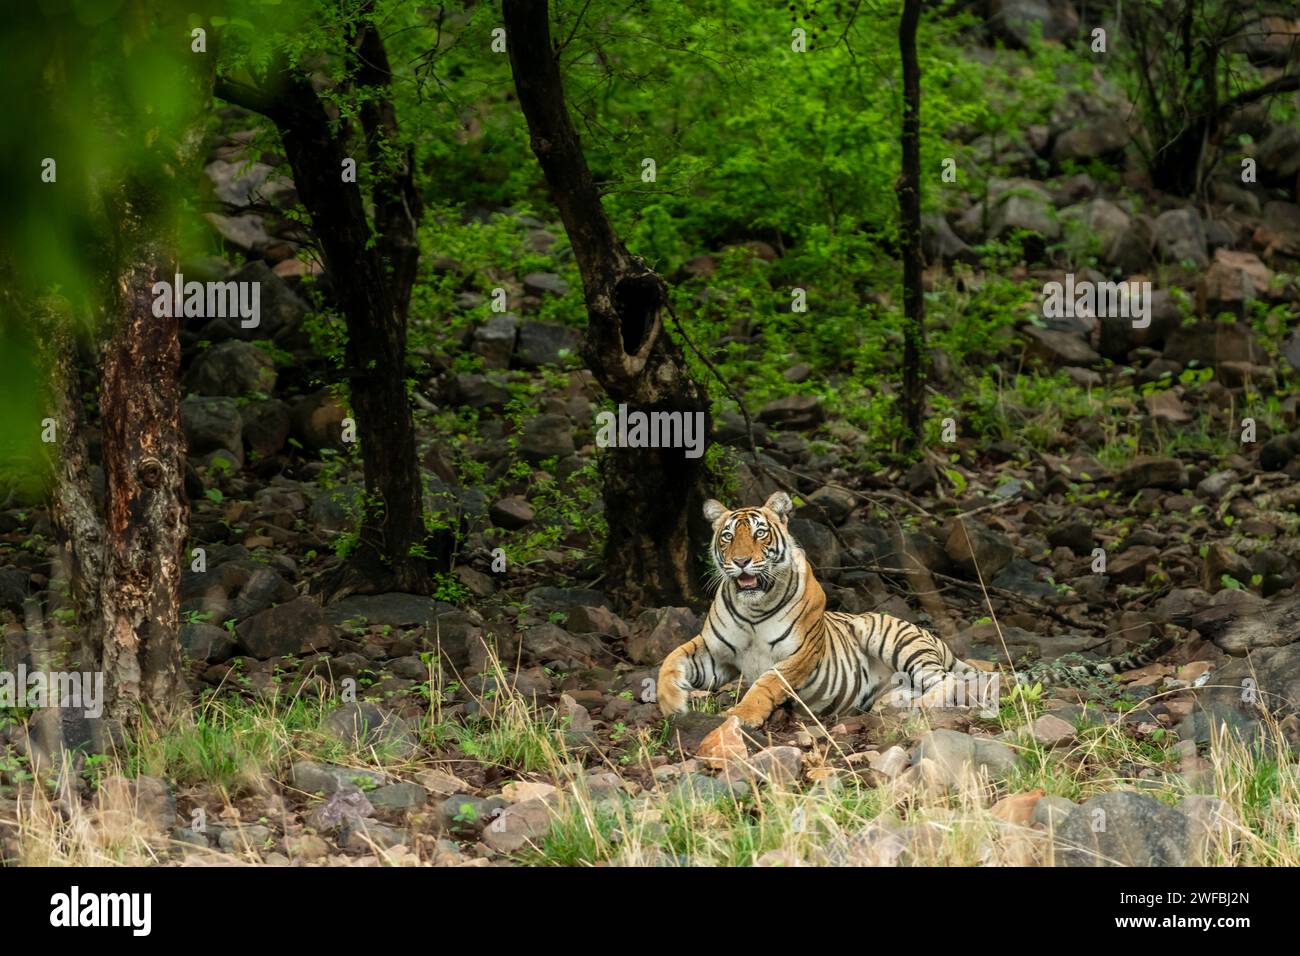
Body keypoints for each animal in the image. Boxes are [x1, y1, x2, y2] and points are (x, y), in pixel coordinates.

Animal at [657, 491, 980, 728]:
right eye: (728, 536)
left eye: (760, 533)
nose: (741, 561)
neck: (754, 610)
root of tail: (936, 639)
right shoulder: (714, 653)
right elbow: (670, 661)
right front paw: (671, 703)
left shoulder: (798, 655)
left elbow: (765, 684)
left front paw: (741, 715)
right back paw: (887, 704)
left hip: (895, 640)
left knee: (948, 681)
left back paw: (918, 707)